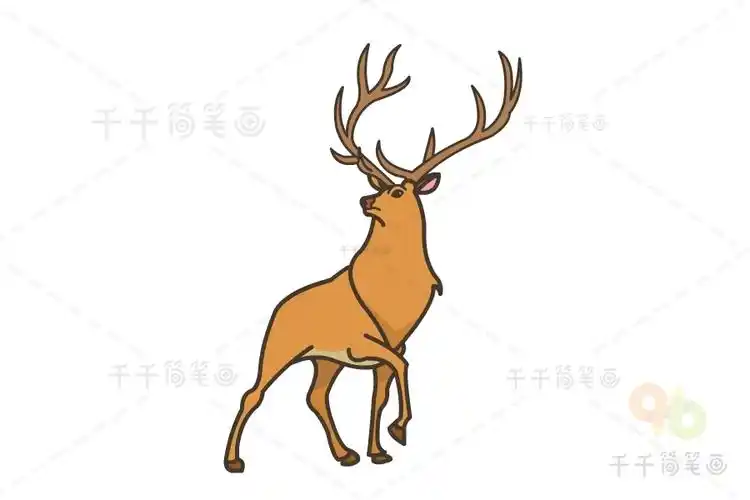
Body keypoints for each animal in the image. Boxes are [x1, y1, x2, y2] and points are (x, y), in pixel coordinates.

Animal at [224, 43, 522, 472]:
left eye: (396, 191)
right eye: (379, 187)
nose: (366, 199)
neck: (393, 293)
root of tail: (280, 307)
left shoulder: (390, 348)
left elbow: (381, 391)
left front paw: (379, 451)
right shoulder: (363, 344)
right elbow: (402, 369)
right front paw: (399, 430)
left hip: (324, 359)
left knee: (315, 395)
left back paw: (345, 454)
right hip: (279, 346)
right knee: (253, 393)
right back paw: (234, 461)